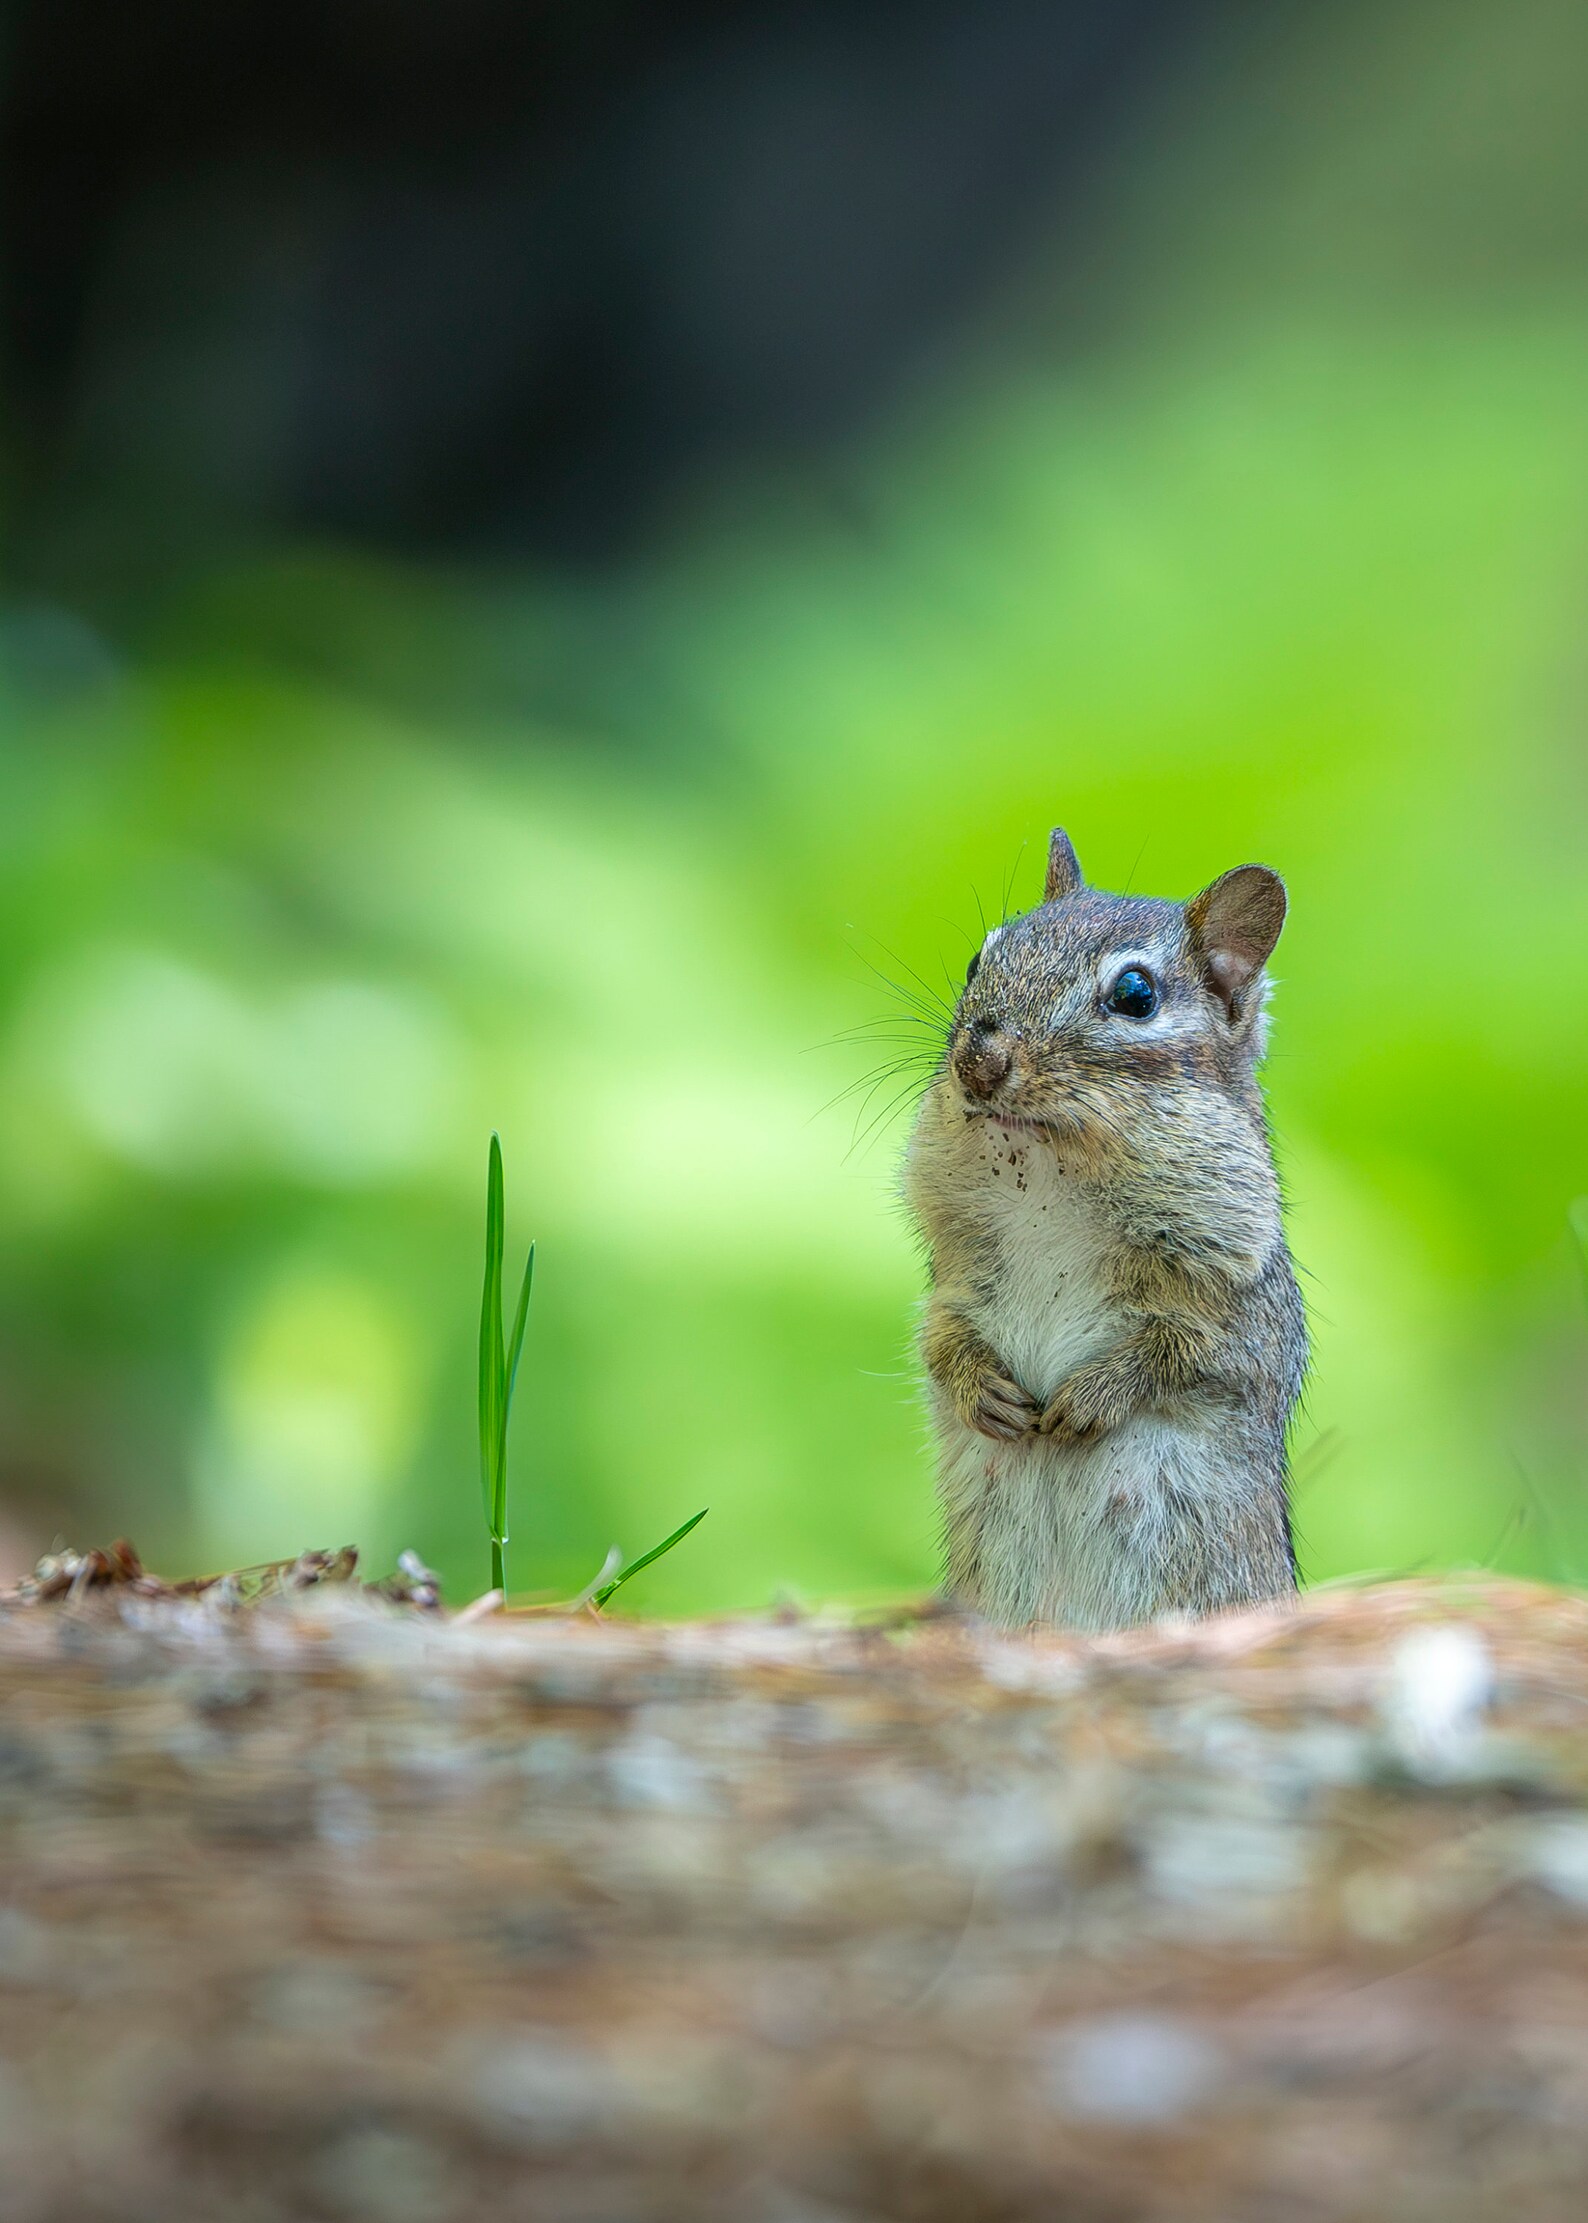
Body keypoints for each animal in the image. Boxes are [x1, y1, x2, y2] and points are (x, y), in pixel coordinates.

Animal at [904, 827, 1305, 1630]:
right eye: (976, 961)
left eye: (1135, 995)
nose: (978, 1061)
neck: (1047, 1187)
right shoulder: (954, 1280)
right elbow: (939, 1336)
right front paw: (981, 1388)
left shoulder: (1241, 1315)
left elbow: (1186, 1356)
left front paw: (1091, 1398)